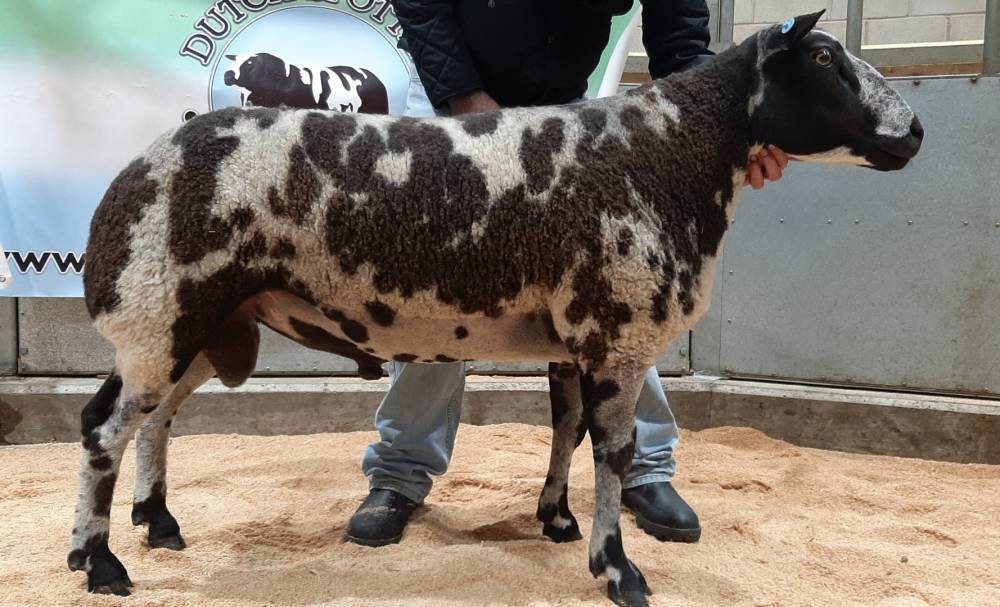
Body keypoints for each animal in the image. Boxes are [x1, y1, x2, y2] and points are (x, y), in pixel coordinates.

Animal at [68, 12, 922, 607]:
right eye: (823, 58)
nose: (915, 131)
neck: (672, 151)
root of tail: (132, 173)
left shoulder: (573, 340)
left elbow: (567, 432)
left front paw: (556, 520)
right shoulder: (617, 333)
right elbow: (611, 455)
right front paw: (618, 570)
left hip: (202, 325)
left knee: (155, 419)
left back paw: (157, 523)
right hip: (162, 309)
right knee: (105, 428)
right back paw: (100, 561)